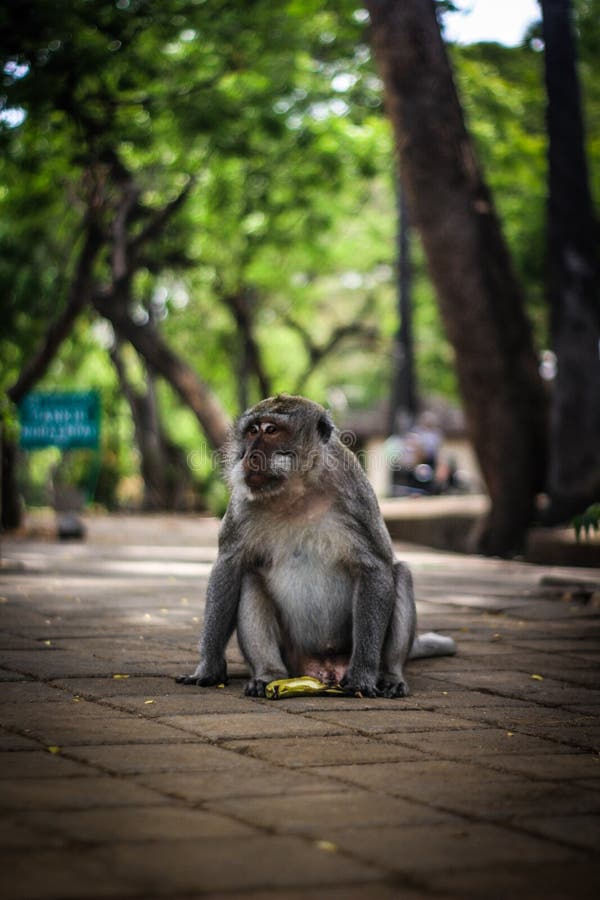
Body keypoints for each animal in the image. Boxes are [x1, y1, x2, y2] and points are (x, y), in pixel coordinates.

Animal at [177, 394, 456, 698]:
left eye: (271, 430)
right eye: (252, 431)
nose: (250, 455)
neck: (298, 491)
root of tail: (324, 667)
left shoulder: (356, 494)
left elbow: (375, 567)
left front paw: (363, 674)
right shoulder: (243, 503)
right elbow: (230, 566)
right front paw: (209, 667)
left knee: (400, 574)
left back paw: (390, 674)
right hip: (292, 656)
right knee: (249, 579)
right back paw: (268, 674)